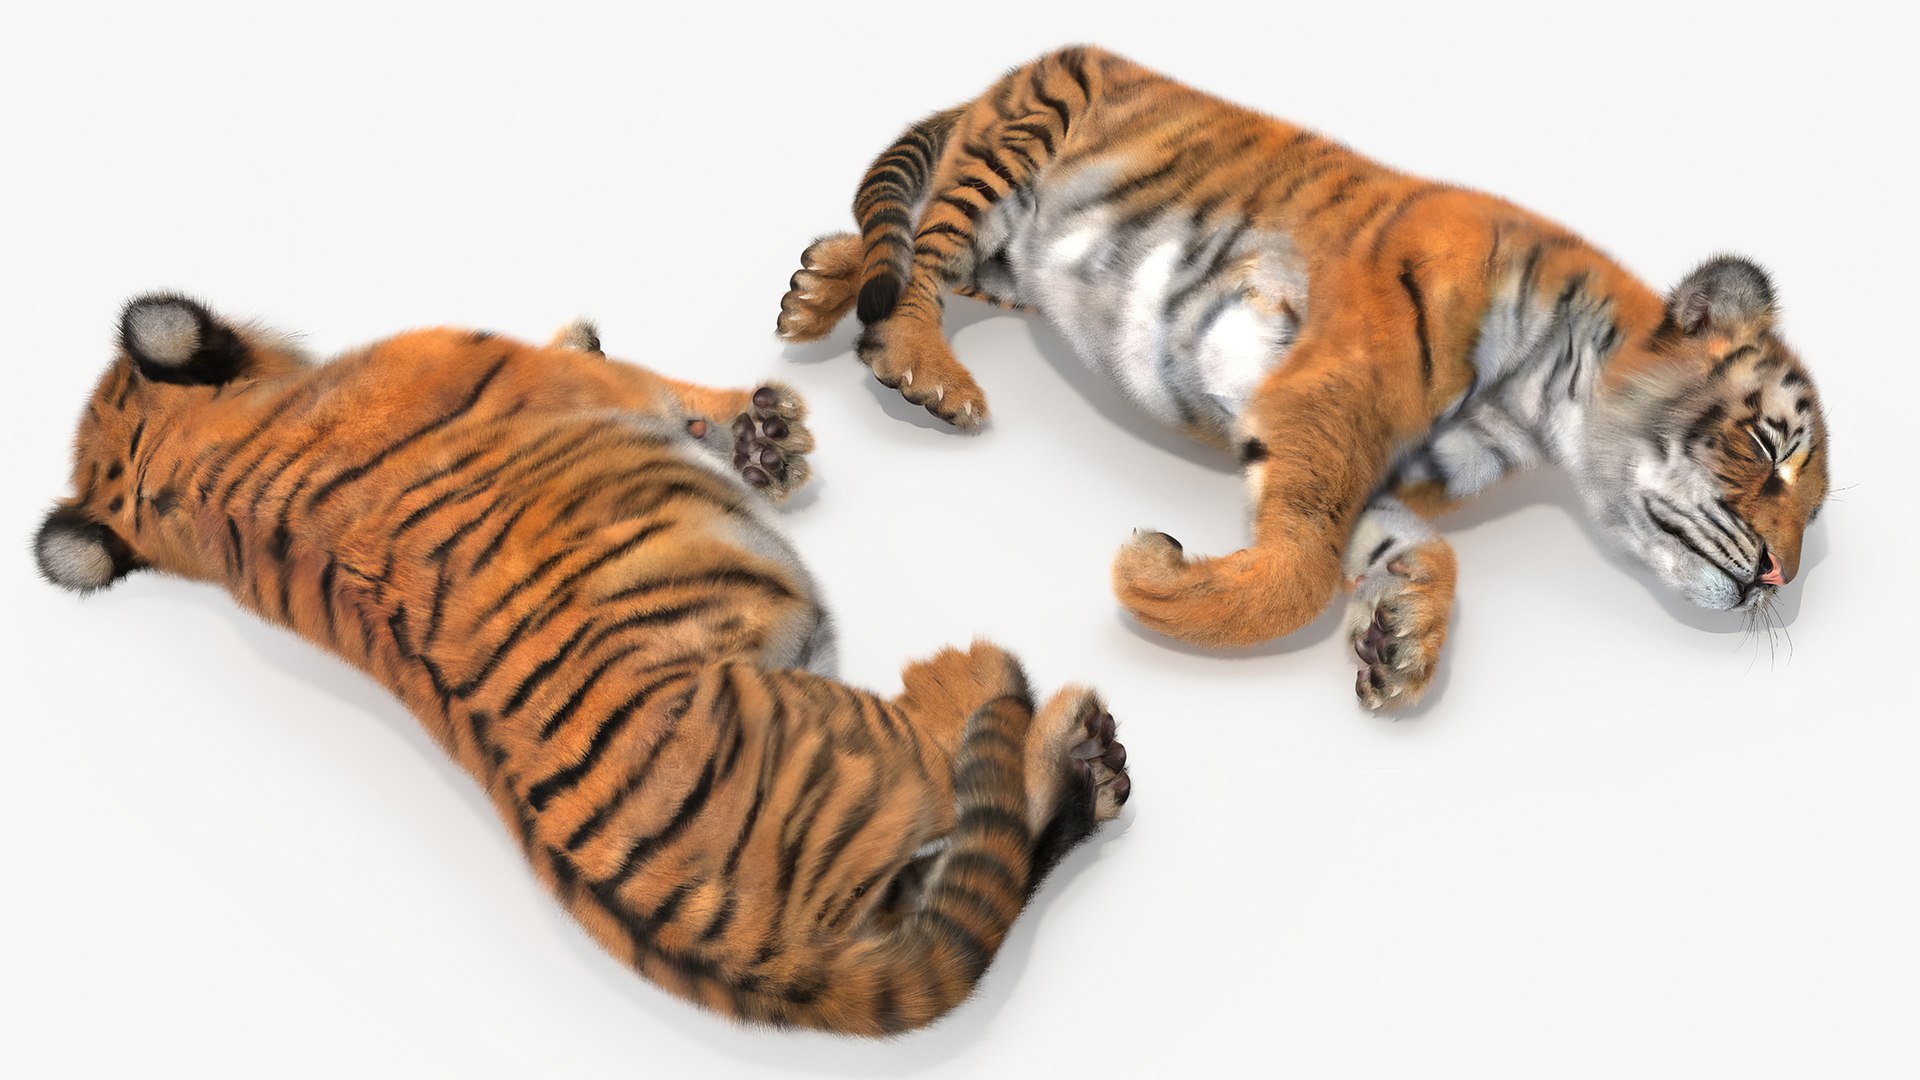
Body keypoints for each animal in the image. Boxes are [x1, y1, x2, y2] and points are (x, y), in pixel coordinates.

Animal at [32, 294, 1132, 1036]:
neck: (189, 478)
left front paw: (759, 439)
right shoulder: (575, 383)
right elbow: (655, 385)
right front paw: (760, 429)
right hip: (862, 732)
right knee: (979, 778)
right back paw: (1046, 725)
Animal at [776, 45, 1831, 711]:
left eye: (1813, 513)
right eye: (1769, 448)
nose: (1778, 577)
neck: (1538, 411)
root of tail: (1023, 62)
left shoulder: (1374, 467)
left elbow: (1410, 552)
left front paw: (1402, 643)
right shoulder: (1326, 400)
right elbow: (1302, 569)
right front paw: (1154, 576)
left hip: (1005, 250)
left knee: (909, 247)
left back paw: (816, 287)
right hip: (1015, 144)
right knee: (923, 253)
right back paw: (918, 363)